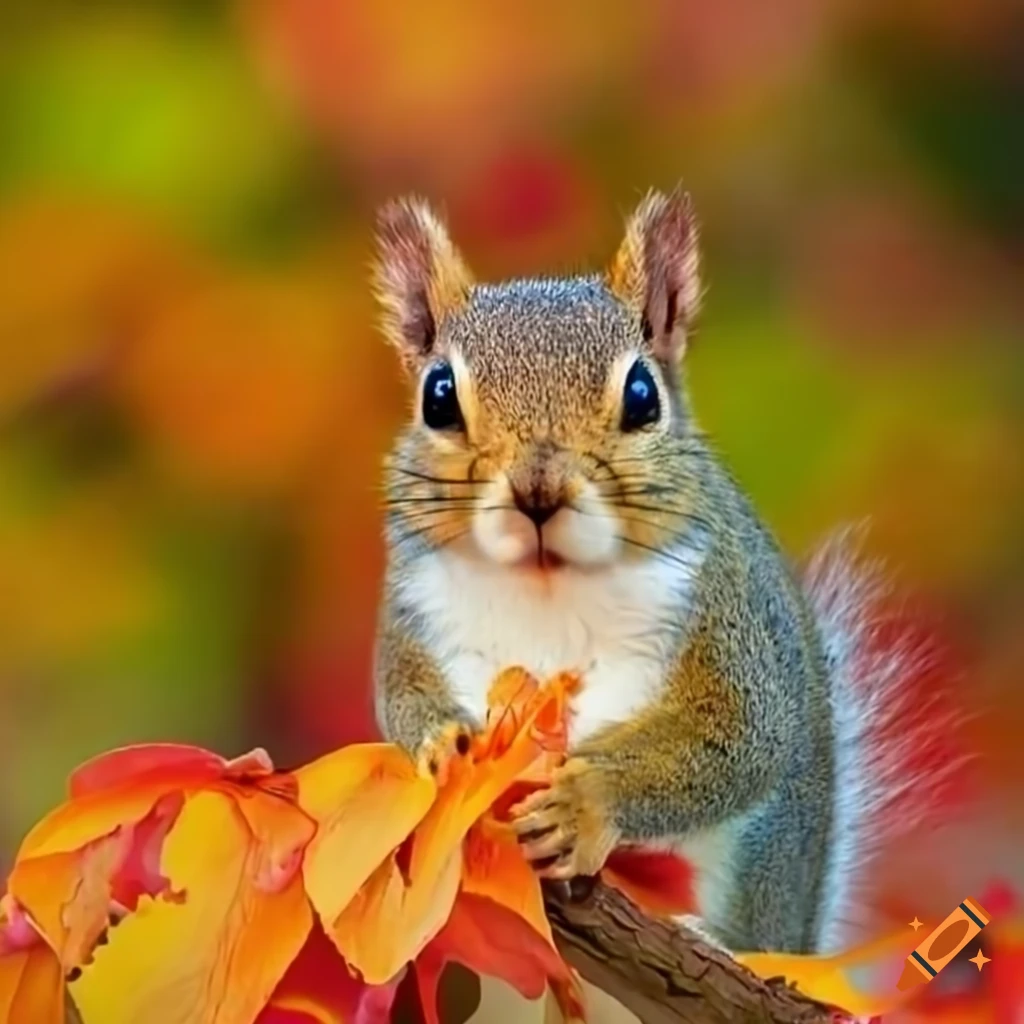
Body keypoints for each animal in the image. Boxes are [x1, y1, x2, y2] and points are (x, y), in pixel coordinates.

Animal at [370, 187, 917, 955]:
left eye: (642, 395)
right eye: (438, 396)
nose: (538, 490)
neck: (549, 584)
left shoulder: (728, 621)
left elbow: (739, 737)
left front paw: (583, 804)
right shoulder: (416, 610)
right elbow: (399, 689)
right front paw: (442, 744)